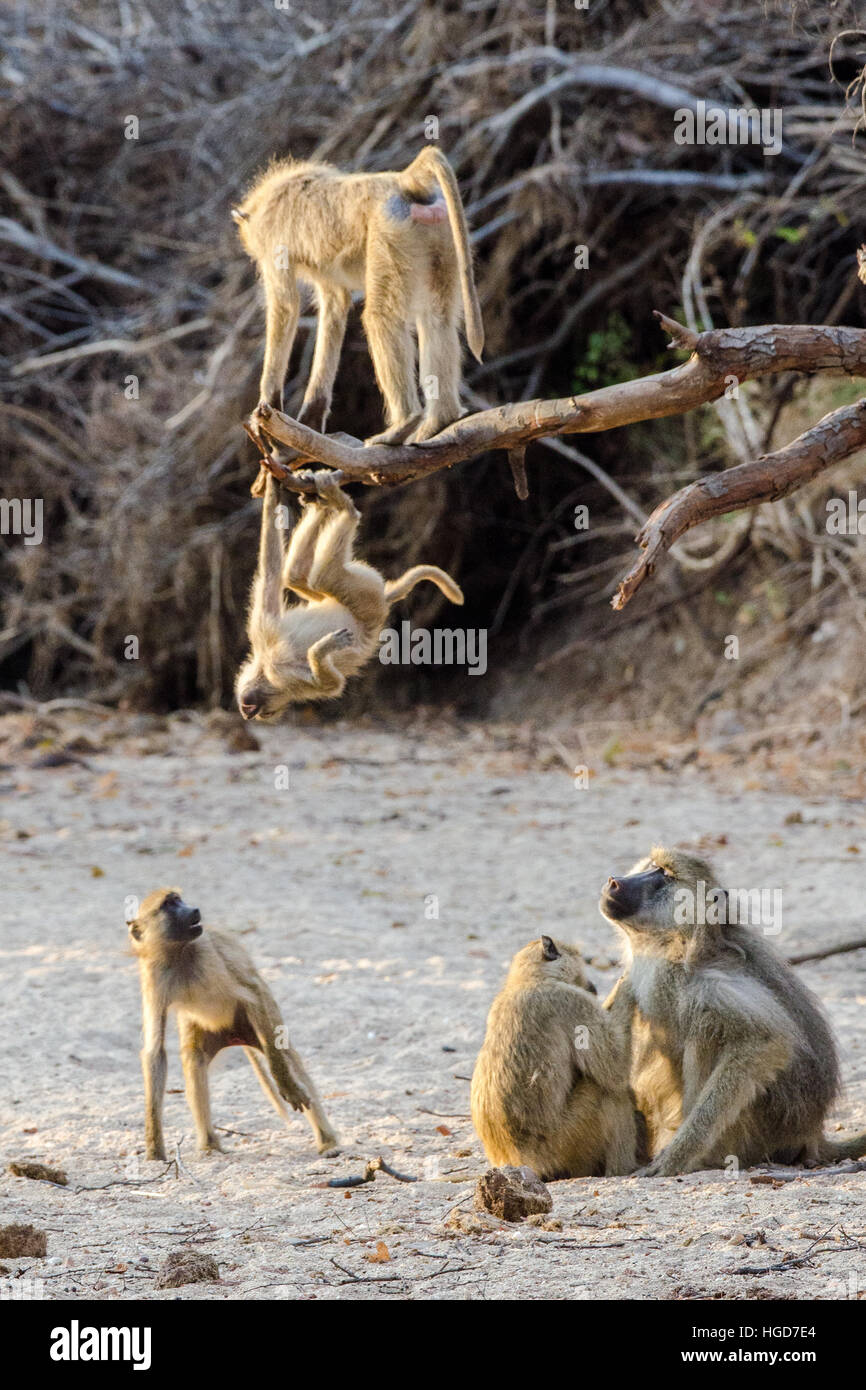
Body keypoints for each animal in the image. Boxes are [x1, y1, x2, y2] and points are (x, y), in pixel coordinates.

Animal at [128, 887, 338, 1160]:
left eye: (179, 899)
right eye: (169, 904)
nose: (194, 910)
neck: (179, 954)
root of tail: (234, 1036)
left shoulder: (212, 957)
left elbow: (252, 992)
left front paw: (287, 1086)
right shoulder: (154, 975)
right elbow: (156, 1051)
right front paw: (154, 1151)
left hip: (258, 1024)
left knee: (285, 1053)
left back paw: (328, 1141)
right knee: (193, 1059)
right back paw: (210, 1145)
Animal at [232, 145, 484, 445]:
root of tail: (405, 182)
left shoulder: (273, 244)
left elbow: (286, 306)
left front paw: (268, 403)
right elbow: (335, 306)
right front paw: (312, 417)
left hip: (390, 233)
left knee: (381, 318)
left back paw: (404, 424)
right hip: (441, 236)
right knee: (438, 319)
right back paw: (439, 422)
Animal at [235, 468, 463, 719]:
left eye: (257, 710)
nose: (248, 714)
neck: (264, 663)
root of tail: (385, 597)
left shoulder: (279, 672)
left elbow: (271, 572)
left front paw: (272, 487)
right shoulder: (266, 642)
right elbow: (271, 577)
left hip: (367, 603)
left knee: (322, 577)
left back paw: (346, 509)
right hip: (364, 594)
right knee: (298, 577)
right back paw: (320, 504)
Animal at [470, 935, 644, 1181]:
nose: (592, 986)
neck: (528, 979)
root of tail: (525, 1163)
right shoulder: (569, 1001)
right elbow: (615, 1070)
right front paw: (626, 984)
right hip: (568, 1141)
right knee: (608, 1093)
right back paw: (624, 1170)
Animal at [599, 846, 866, 1176]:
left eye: (666, 875)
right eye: (652, 865)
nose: (615, 881)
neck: (670, 942)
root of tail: (811, 1134)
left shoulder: (708, 982)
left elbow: (766, 1041)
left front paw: (676, 1156)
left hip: (758, 1131)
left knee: (705, 1029)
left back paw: (703, 1159)